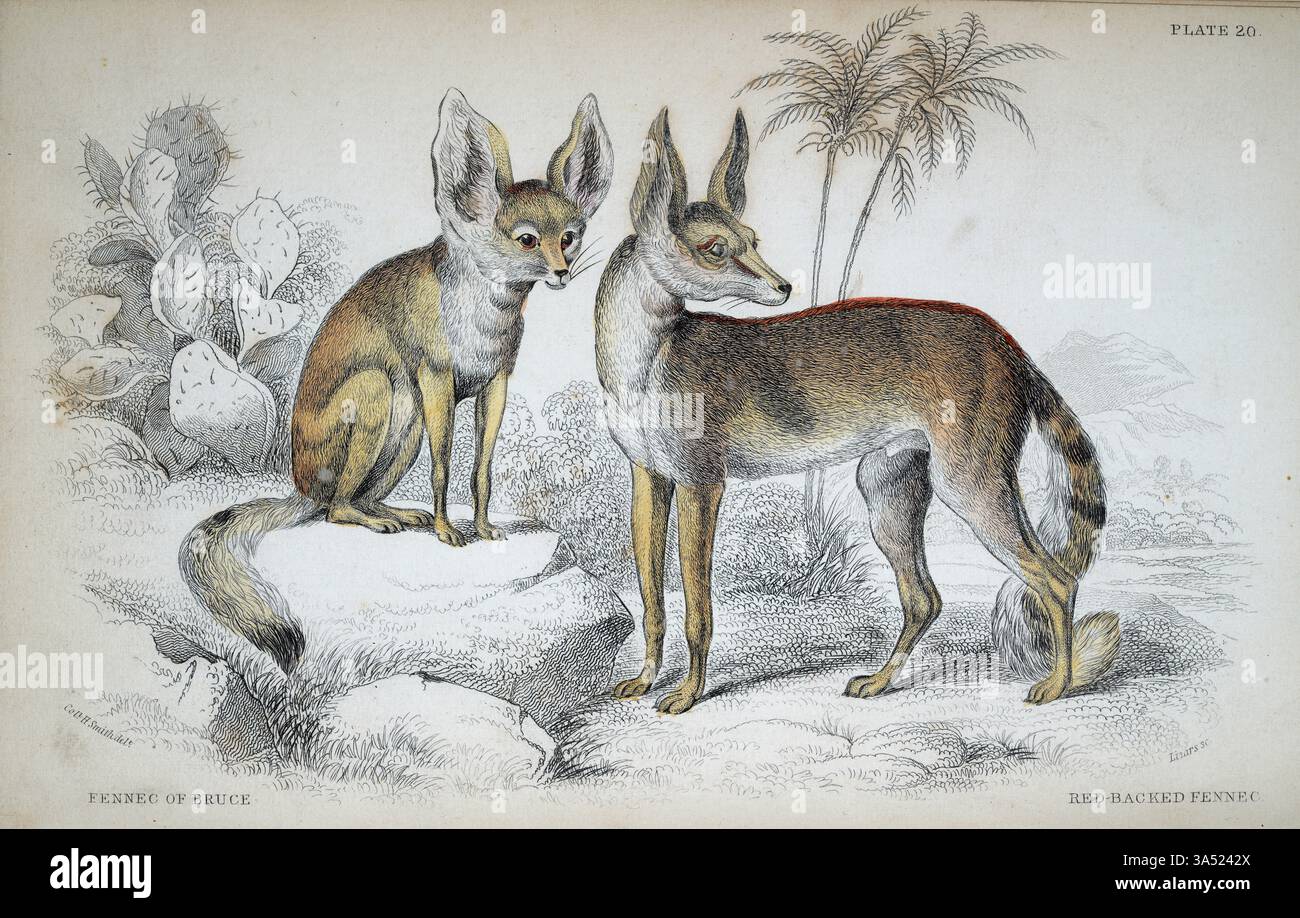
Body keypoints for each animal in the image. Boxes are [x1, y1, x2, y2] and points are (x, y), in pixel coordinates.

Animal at [179, 89, 614, 673]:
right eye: (527, 241)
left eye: (569, 238)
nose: (562, 272)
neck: (485, 314)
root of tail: (299, 488)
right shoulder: (437, 379)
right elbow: (444, 468)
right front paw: (449, 531)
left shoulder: (495, 384)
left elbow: (480, 470)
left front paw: (483, 529)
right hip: (381, 392)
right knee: (337, 509)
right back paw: (382, 519)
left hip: (403, 428)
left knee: (357, 498)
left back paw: (396, 513)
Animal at [594, 107, 1118, 715]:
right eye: (716, 248)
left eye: (752, 240)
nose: (783, 286)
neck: (649, 358)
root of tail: (1007, 345)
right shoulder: (649, 479)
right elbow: (652, 599)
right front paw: (645, 678)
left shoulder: (702, 482)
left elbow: (697, 611)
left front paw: (688, 692)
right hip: (888, 486)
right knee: (924, 598)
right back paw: (881, 680)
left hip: (972, 484)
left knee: (1055, 579)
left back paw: (1060, 684)